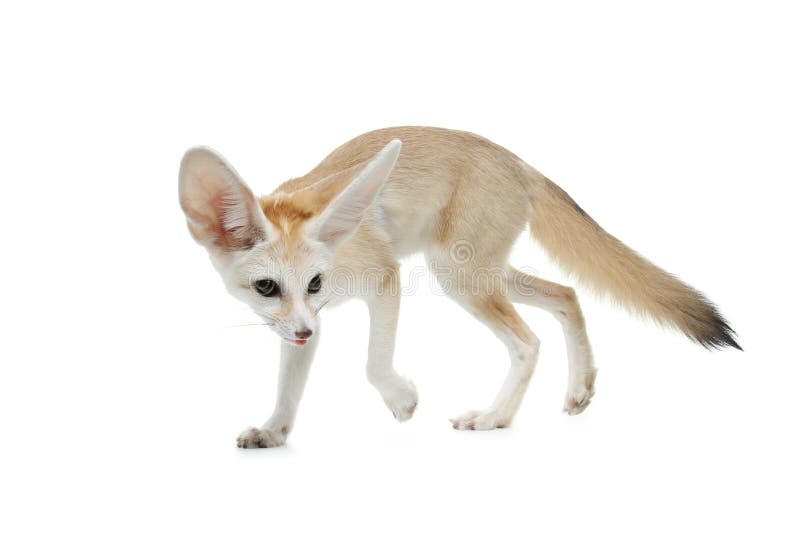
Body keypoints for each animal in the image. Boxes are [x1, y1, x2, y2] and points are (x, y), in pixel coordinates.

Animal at [179, 126, 740, 448]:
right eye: (266, 287)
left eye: (316, 281)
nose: (303, 333)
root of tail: (518, 162)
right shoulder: (302, 323)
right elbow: (288, 387)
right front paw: (274, 430)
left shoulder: (383, 278)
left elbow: (373, 364)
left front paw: (402, 401)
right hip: (484, 273)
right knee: (567, 295)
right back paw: (579, 388)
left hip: (458, 275)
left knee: (528, 341)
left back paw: (495, 419)